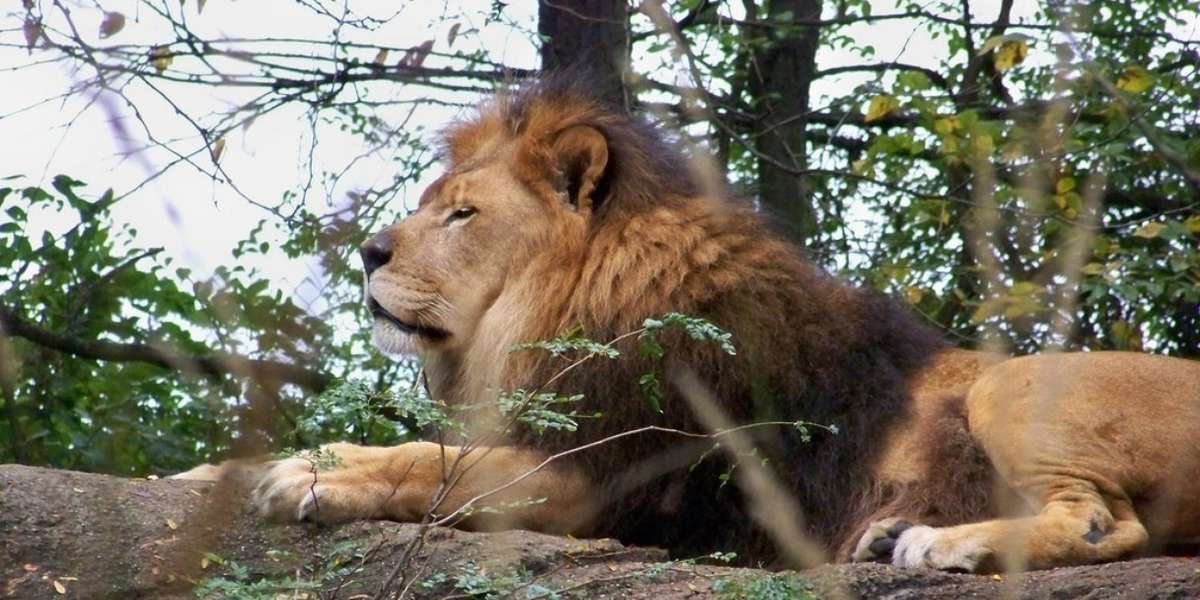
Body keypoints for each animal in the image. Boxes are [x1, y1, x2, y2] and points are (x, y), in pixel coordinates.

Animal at [180, 76, 1200, 572]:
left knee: (1107, 525)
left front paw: (309, 477)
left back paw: (944, 545)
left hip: (1011, 382)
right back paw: (891, 538)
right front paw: (214, 474)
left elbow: (434, 467)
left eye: (462, 215)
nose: (368, 253)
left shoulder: (607, 483)